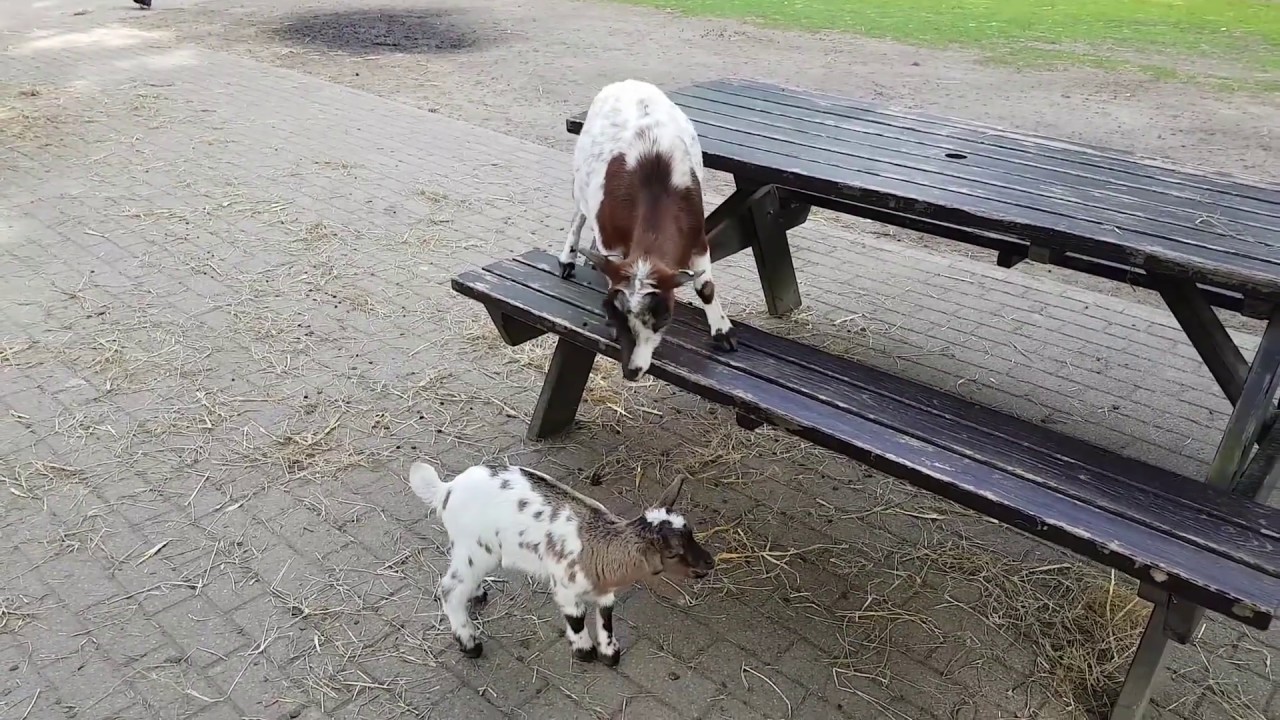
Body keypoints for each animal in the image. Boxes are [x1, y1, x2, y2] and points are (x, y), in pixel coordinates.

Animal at [409, 461, 715, 666]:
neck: (599, 547)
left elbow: (606, 617)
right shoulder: (565, 586)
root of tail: (447, 489)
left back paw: (477, 594)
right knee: (449, 589)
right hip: (474, 547)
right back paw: (470, 642)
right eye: (673, 552)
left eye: (692, 532)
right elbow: (576, 617)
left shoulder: (605, 591)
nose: (710, 562)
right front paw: (585, 651)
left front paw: (609, 652)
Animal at [559, 79, 737, 382]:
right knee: (578, 215)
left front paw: (723, 332)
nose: (633, 370)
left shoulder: (698, 236)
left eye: (664, 316)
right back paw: (567, 259)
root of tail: (626, 83)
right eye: (614, 313)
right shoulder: (610, 242)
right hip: (580, 180)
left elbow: (705, 287)